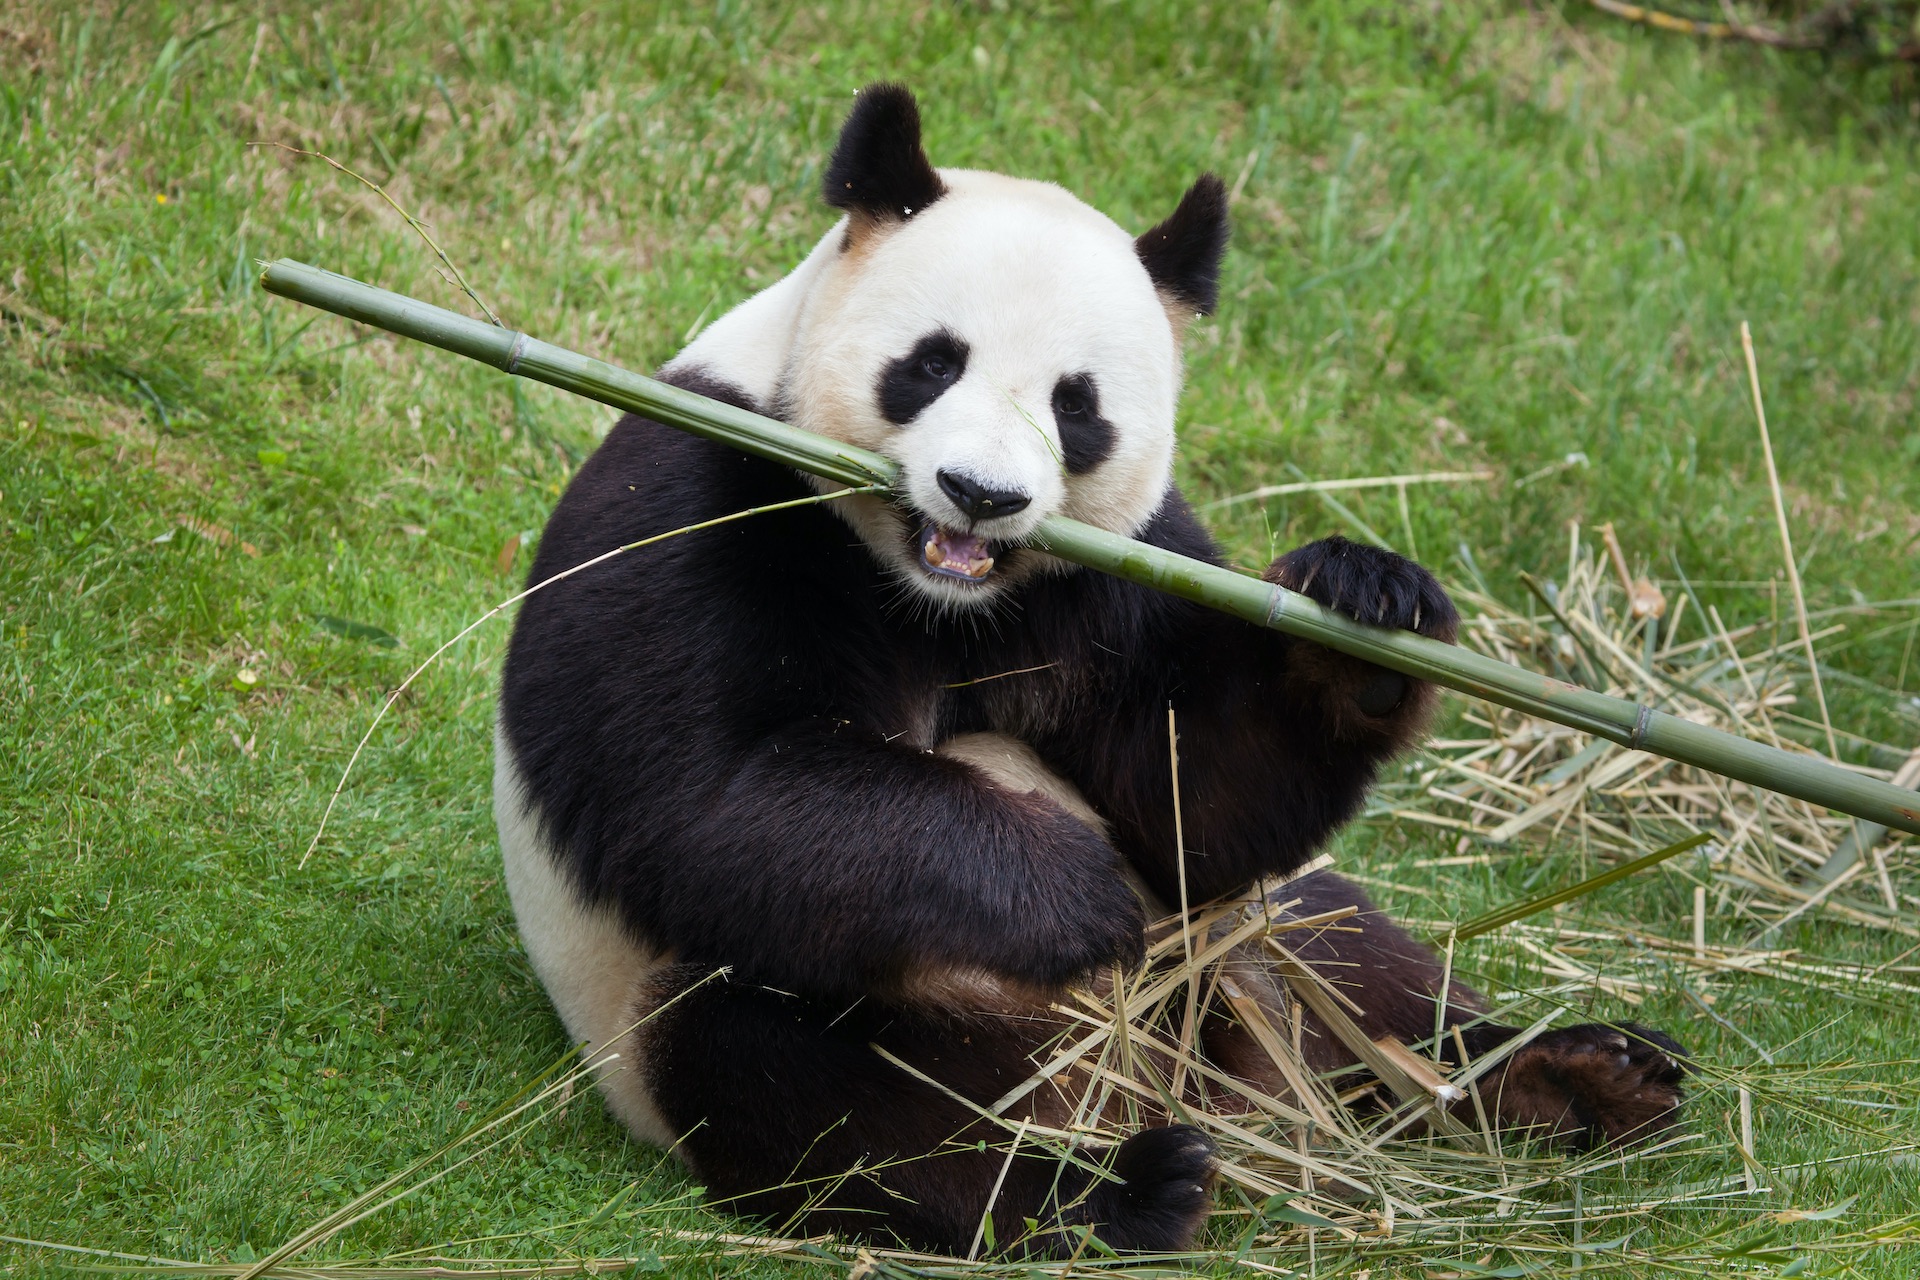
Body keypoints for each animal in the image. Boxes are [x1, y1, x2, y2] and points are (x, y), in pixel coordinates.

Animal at [495, 83, 1687, 1257]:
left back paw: (1573, 1075)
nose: (981, 494)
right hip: (740, 1020)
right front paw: (1072, 893)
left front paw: (1361, 610)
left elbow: (1198, 801)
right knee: (808, 1089)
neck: (936, 592)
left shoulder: (1119, 574)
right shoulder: (706, 491)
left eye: (1078, 405)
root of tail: (1164, 1091)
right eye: (932, 362)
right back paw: (1112, 1192)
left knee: (1337, 945)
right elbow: (707, 794)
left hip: (1241, 970)